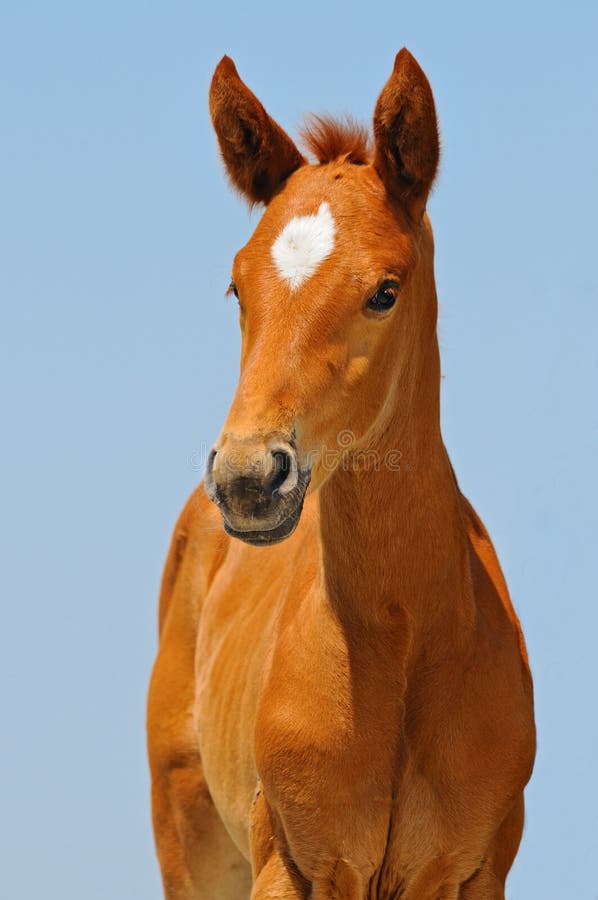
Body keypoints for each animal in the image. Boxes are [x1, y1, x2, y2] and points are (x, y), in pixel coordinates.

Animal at [147, 49, 536, 899]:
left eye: (384, 290)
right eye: (238, 287)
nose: (249, 477)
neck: (403, 639)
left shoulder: (473, 870)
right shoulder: (293, 864)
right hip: (188, 842)